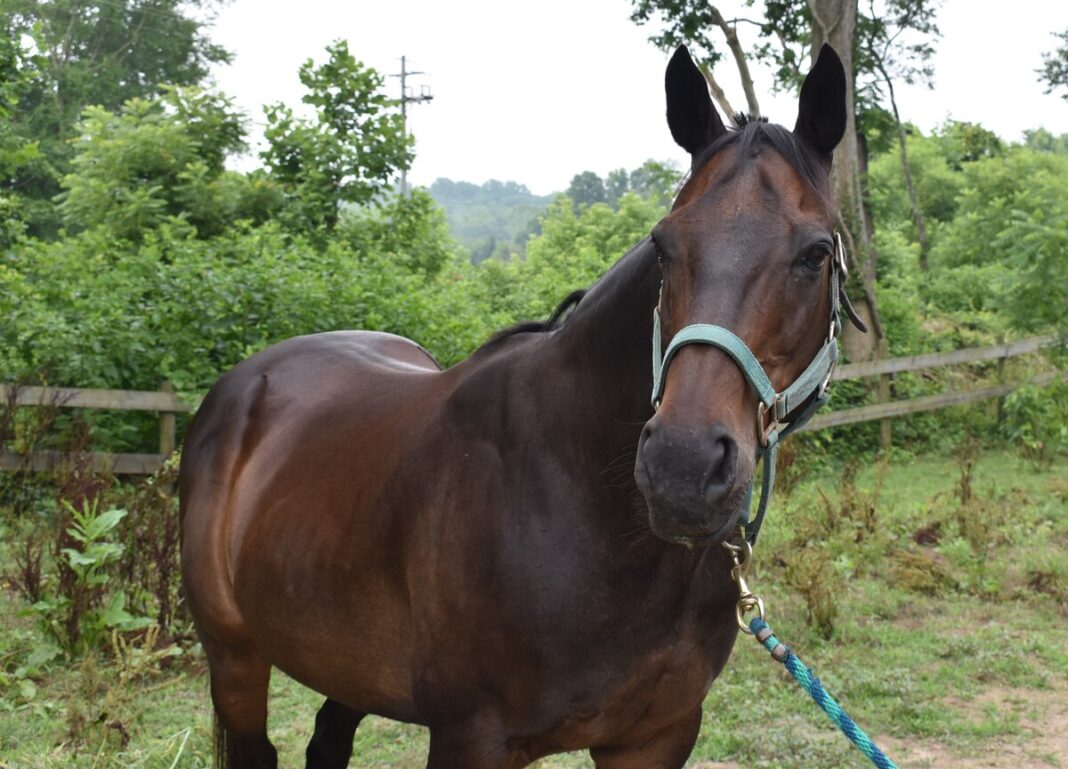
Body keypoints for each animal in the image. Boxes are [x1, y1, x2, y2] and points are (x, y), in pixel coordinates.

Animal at [179, 43, 848, 769]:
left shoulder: (656, 735)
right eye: (663, 246)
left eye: (816, 253)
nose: (683, 469)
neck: (582, 503)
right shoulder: (470, 739)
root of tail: (243, 384)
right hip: (236, 660)